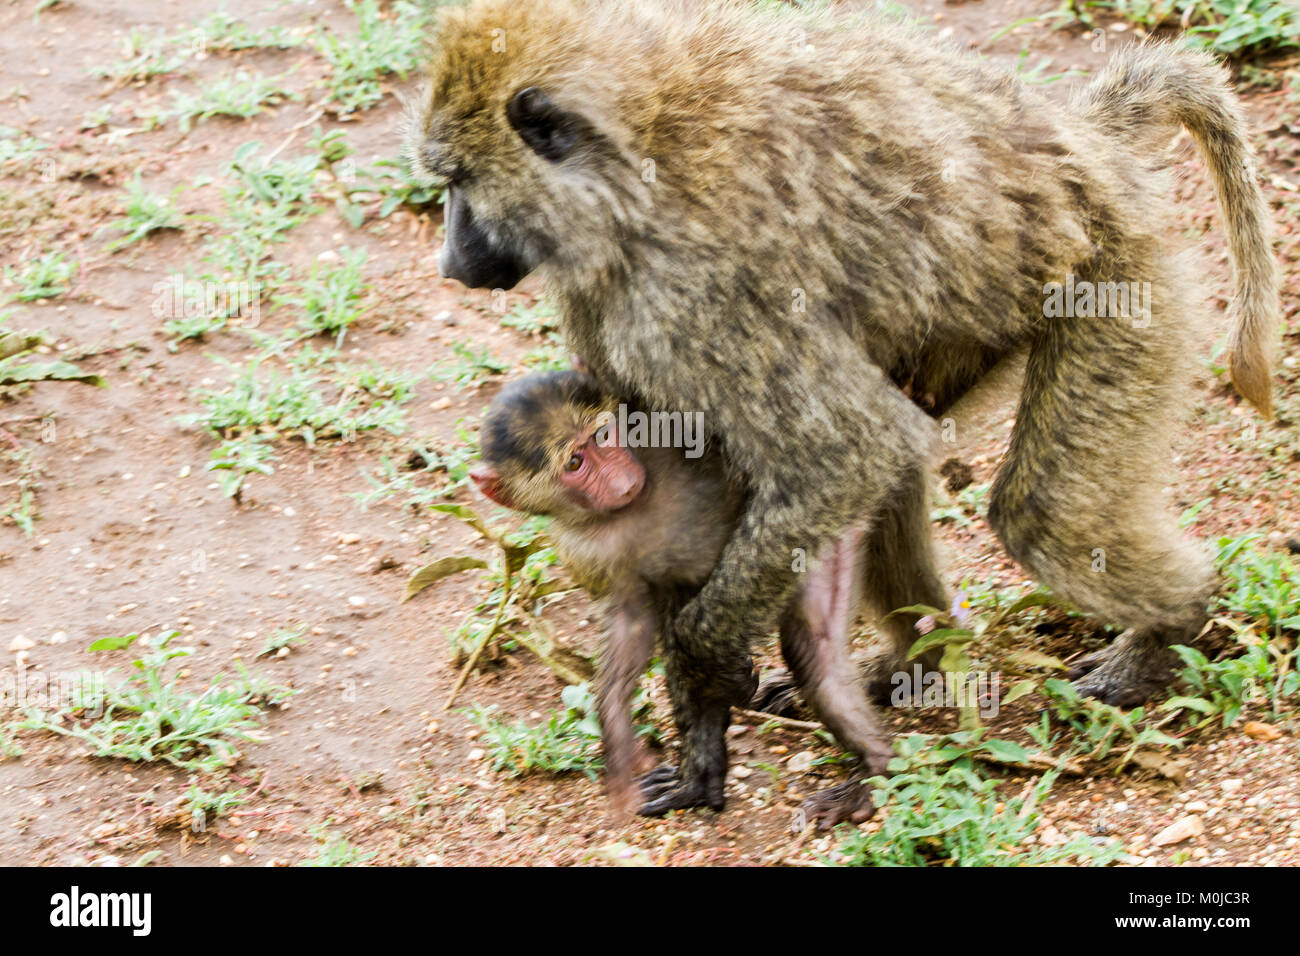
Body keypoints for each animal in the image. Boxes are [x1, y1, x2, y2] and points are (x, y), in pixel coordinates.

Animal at [470, 370, 893, 823]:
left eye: (602, 435)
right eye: (575, 463)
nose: (621, 477)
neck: (626, 513)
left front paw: (728, 679)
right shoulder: (582, 549)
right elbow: (634, 621)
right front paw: (619, 734)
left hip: (829, 531)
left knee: (806, 633)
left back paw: (871, 774)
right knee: (816, 653)